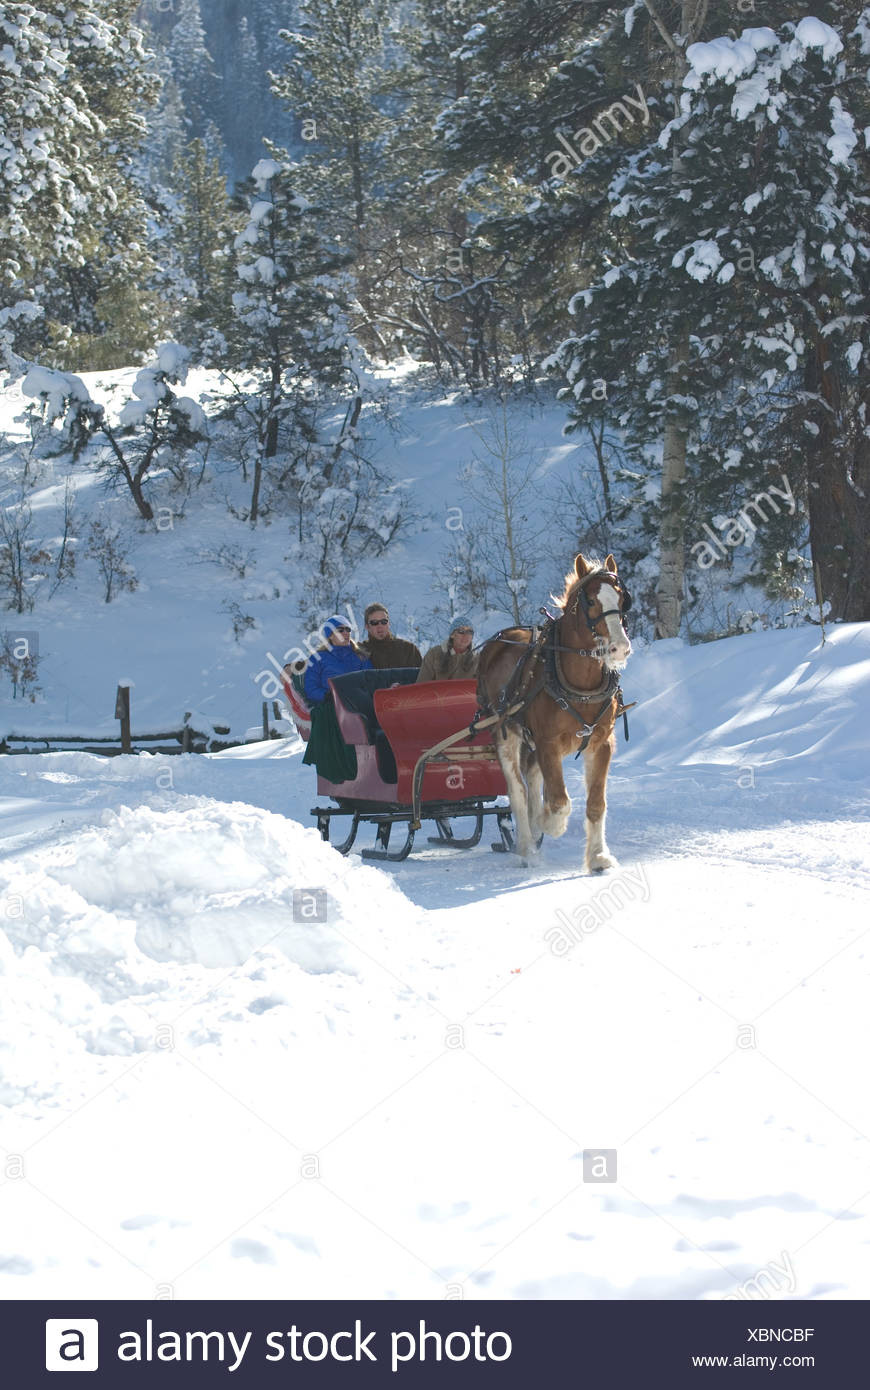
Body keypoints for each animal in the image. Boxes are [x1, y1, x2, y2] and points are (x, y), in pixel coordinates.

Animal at [477, 553, 632, 870]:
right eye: (590, 601)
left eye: (623, 599)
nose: (619, 648)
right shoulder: (547, 742)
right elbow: (560, 801)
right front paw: (549, 823)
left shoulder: (601, 744)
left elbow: (596, 804)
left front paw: (598, 856)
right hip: (505, 733)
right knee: (518, 789)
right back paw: (527, 846)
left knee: (533, 777)